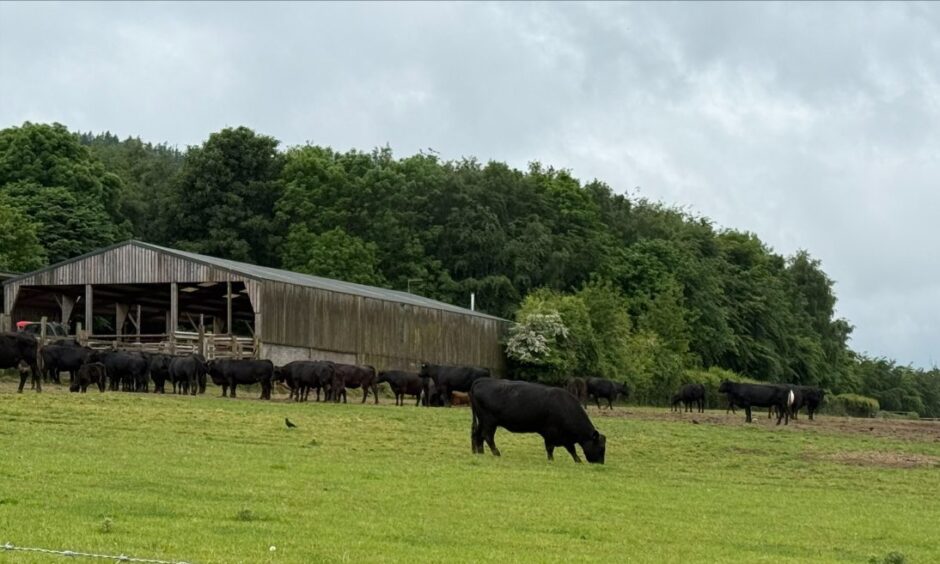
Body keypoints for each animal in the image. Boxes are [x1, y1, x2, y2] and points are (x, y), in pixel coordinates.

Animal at [469, 378, 606, 464]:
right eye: (601, 448)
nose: (600, 463)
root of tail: (481, 381)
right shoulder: (551, 433)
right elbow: (552, 448)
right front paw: (552, 460)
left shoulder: (564, 437)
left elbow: (571, 450)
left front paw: (578, 461)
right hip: (489, 421)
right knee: (487, 436)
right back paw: (496, 453)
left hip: (482, 421)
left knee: (477, 435)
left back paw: (479, 453)